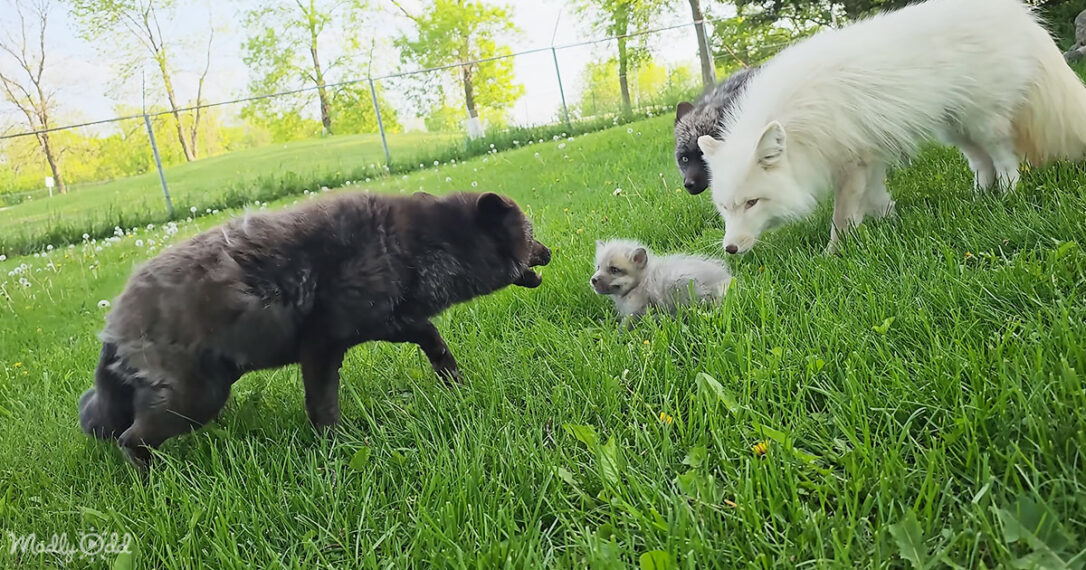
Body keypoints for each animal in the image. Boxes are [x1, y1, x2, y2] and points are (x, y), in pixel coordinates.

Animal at [698, 0, 1086, 254]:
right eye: (724, 208)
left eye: (752, 203)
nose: (730, 249)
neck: (801, 123)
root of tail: (1021, 14)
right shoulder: (867, 159)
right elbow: (876, 200)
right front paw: (890, 223)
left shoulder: (852, 162)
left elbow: (842, 217)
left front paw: (834, 254)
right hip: (957, 129)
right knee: (981, 164)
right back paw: (978, 199)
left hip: (983, 122)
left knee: (1004, 159)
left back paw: (1007, 194)